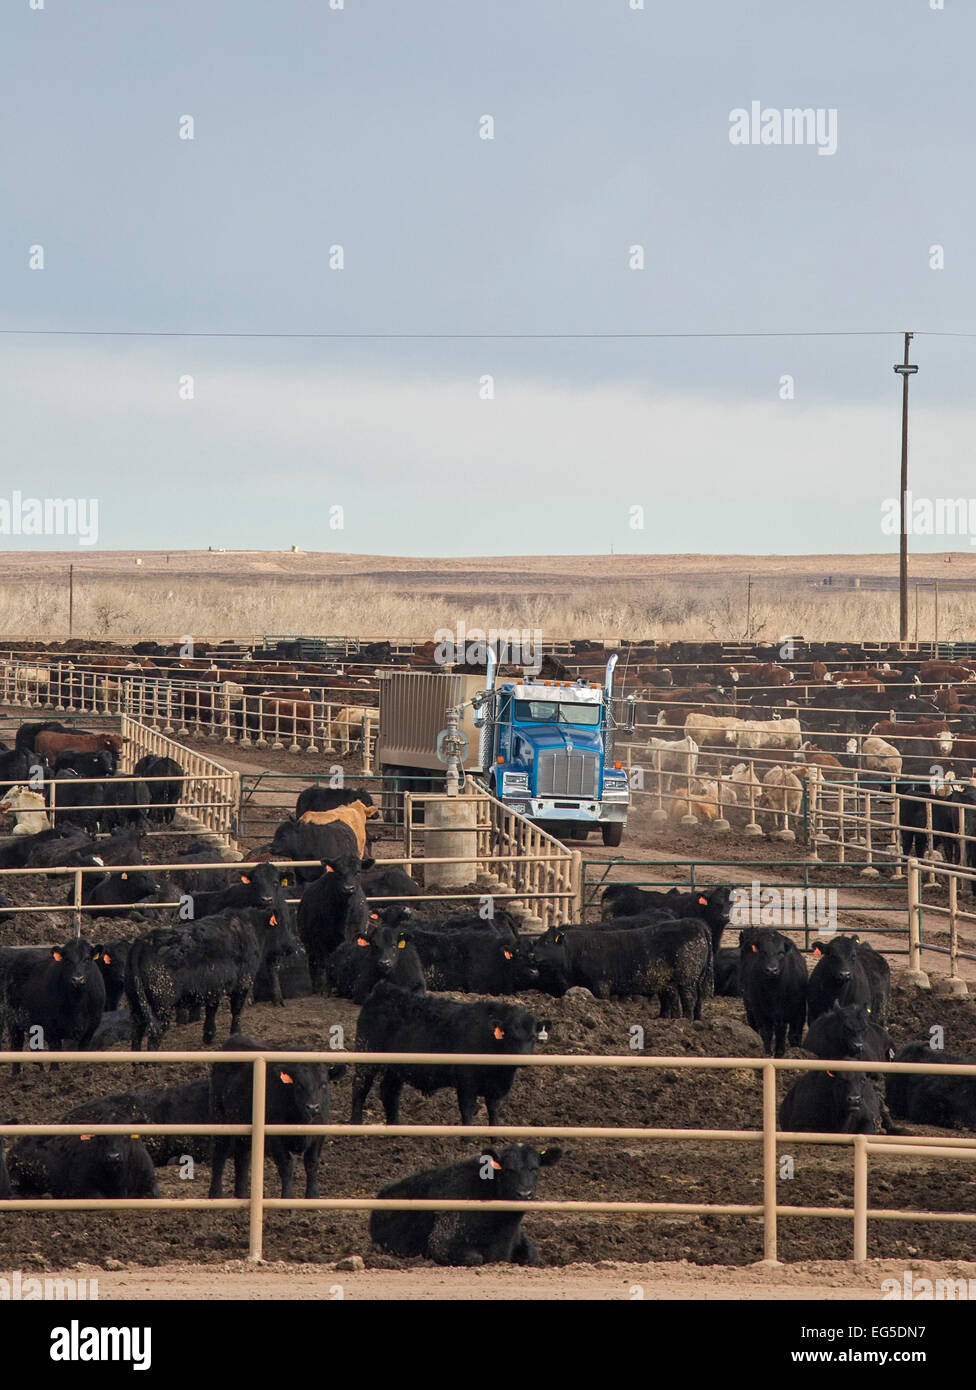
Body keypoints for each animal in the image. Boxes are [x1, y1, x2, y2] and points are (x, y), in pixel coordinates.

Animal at [124, 906, 298, 1048]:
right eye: (285, 925)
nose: (292, 947)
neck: (251, 928)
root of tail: (144, 941)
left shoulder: (213, 987)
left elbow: (211, 1010)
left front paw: (209, 1035)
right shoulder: (243, 982)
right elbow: (237, 1010)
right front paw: (235, 1033)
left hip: (136, 1003)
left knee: (136, 1031)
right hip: (161, 1005)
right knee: (155, 1033)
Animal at [209, 1034, 334, 1199]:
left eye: (324, 1084)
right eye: (298, 1085)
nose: (313, 1107)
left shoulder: (319, 1134)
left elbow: (312, 1163)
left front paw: (312, 1197)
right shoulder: (275, 1137)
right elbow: (286, 1165)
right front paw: (288, 1198)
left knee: (243, 1156)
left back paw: (242, 1194)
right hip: (221, 1119)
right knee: (220, 1153)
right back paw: (215, 1194)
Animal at [349, 982, 548, 1126]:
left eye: (533, 1037)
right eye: (510, 1036)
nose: (523, 1059)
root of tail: (383, 991)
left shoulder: (495, 1088)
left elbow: (493, 1111)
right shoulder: (466, 1081)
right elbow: (467, 1109)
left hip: (396, 1069)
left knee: (390, 1092)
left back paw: (396, 1125)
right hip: (366, 1057)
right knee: (360, 1087)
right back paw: (356, 1122)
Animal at [370, 1145, 562, 1266]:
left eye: (535, 1168)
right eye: (507, 1169)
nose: (524, 1194)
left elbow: (531, 1255)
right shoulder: (441, 1243)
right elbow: (474, 1258)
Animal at [739, 927, 807, 1057]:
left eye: (780, 953)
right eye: (763, 952)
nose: (771, 970)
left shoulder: (793, 1011)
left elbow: (787, 1032)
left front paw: (783, 1052)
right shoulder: (760, 1010)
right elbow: (767, 1032)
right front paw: (767, 1052)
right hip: (749, 1004)